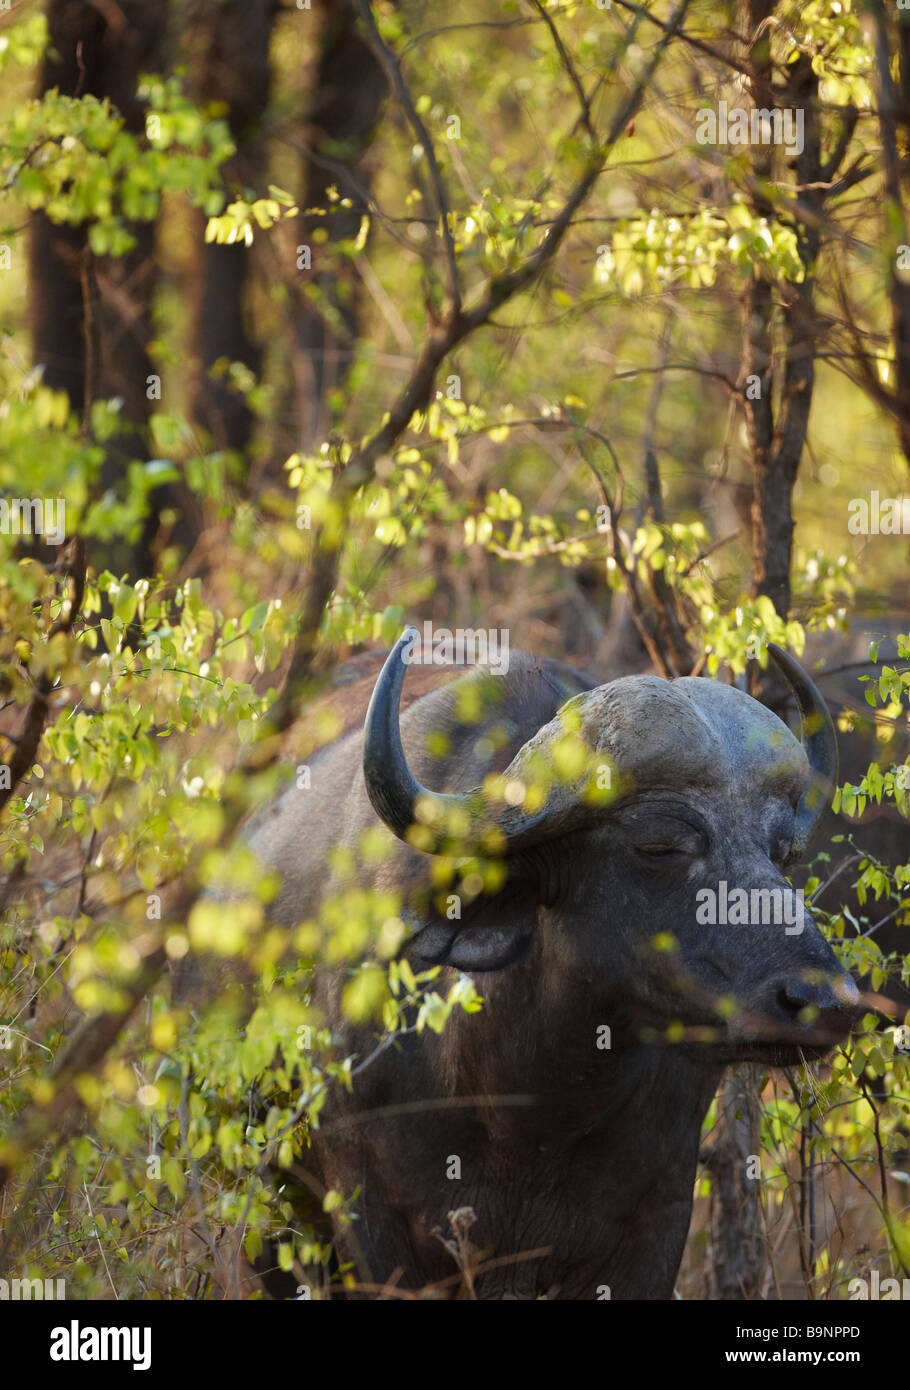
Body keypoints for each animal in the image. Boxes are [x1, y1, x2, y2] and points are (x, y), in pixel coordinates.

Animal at [245, 629, 861, 1299]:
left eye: (778, 851)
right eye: (660, 845)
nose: (825, 1003)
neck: (528, 1105)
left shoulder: (658, 1221)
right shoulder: (367, 1219)